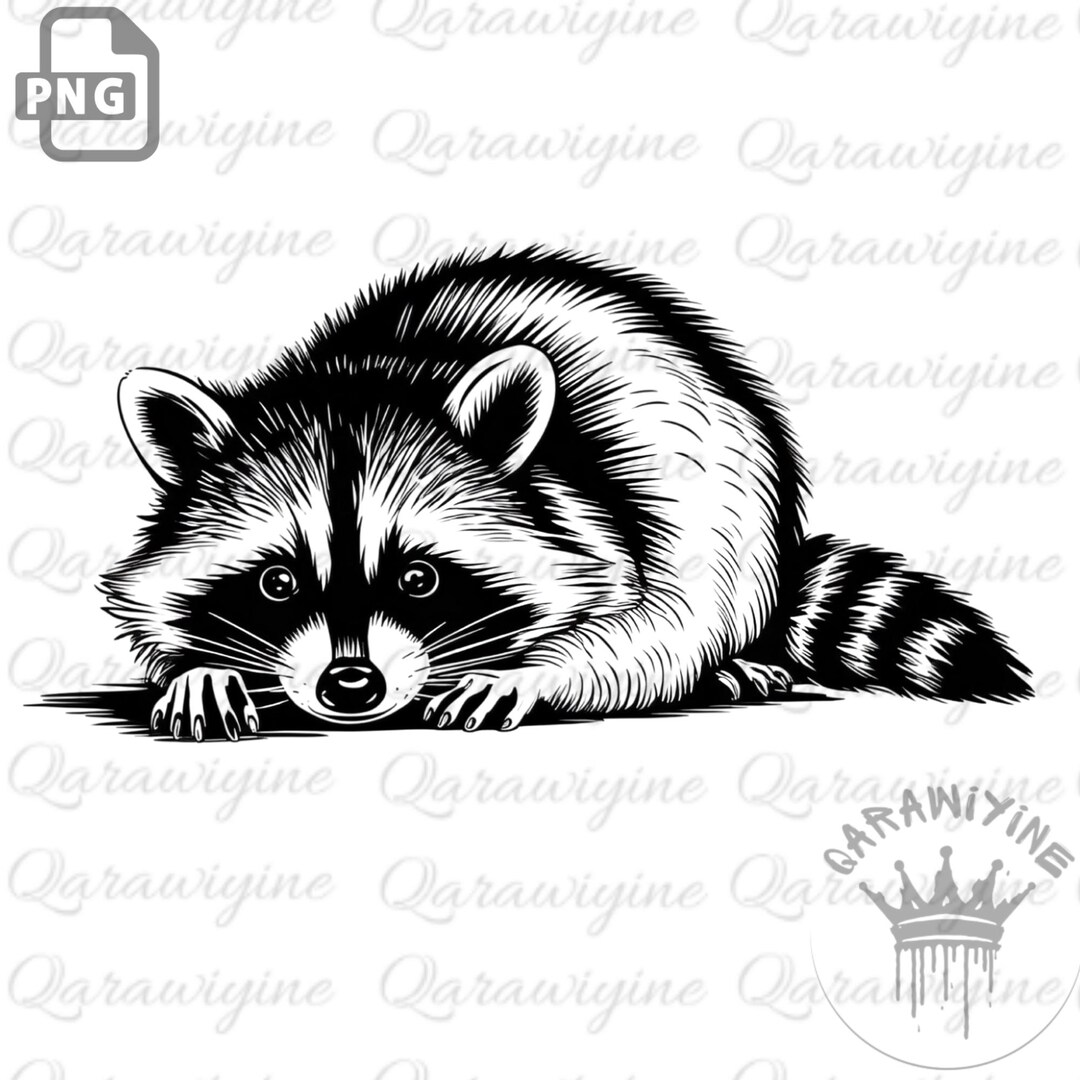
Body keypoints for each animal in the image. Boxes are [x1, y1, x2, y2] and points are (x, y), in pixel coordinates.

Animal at [102, 247, 1031, 740]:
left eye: (419, 578)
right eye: (277, 581)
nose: (351, 685)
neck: (371, 377)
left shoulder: (622, 516)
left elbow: (657, 627)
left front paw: (535, 672)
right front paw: (197, 669)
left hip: (741, 487)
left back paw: (738, 663)